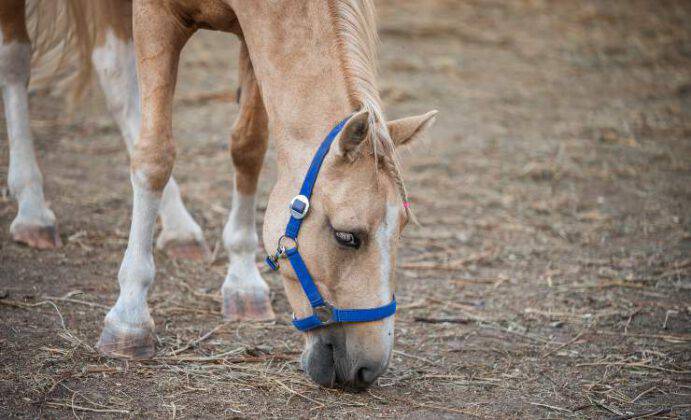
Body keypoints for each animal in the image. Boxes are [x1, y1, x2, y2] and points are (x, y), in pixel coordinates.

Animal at [0, 0, 437, 388]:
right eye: (347, 237)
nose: (368, 368)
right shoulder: (155, 15)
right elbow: (155, 156)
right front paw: (129, 318)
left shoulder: (252, 32)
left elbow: (248, 146)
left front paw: (242, 284)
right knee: (20, 61)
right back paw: (33, 211)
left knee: (111, 69)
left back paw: (179, 229)